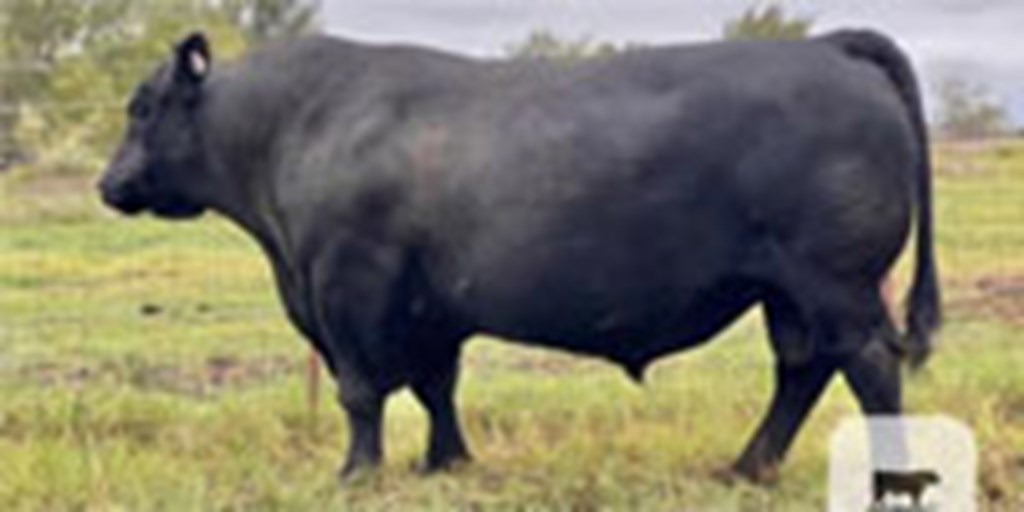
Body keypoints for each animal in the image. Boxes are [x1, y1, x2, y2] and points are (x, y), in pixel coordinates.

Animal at [98, 29, 940, 482]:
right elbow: (436, 386)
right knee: (802, 368)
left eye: (142, 106)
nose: (108, 183)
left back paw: (889, 477)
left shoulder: (346, 284)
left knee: (868, 364)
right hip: (787, 290)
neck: (297, 124)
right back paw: (746, 468)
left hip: (834, 282)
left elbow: (360, 391)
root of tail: (826, 48)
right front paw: (447, 463)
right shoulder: (428, 303)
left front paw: (356, 473)